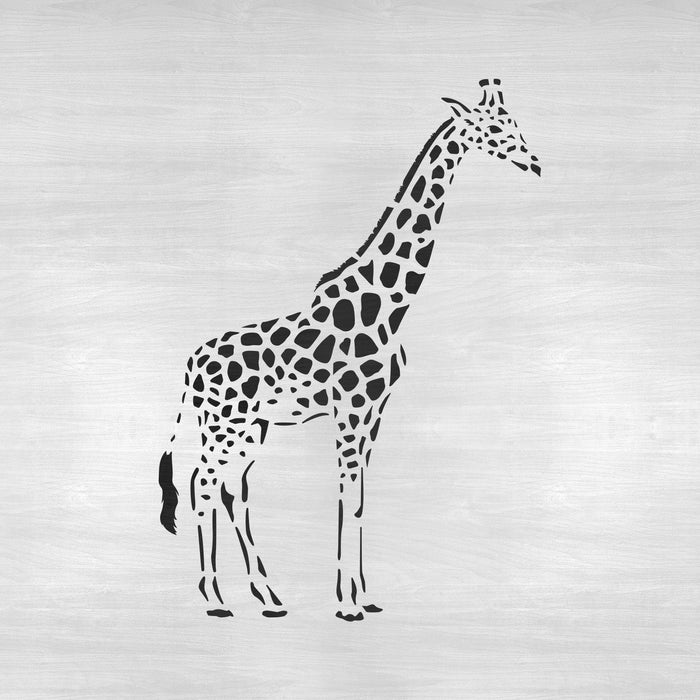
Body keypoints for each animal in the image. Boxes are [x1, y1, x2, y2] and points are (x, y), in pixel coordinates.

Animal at [158, 79, 541, 621]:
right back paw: (215, 600)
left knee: (228, 487)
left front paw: (366, 597)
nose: (534, 163)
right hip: (223, 423)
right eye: (492, 130)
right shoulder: (351, 410)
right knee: (202, 484)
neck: (387, 306)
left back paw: (268, 597)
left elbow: (360, 499)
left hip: (251, 428)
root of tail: (189, 365)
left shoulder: (375, 413)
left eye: (515, 124)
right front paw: (347, 605)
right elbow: (347, 496)